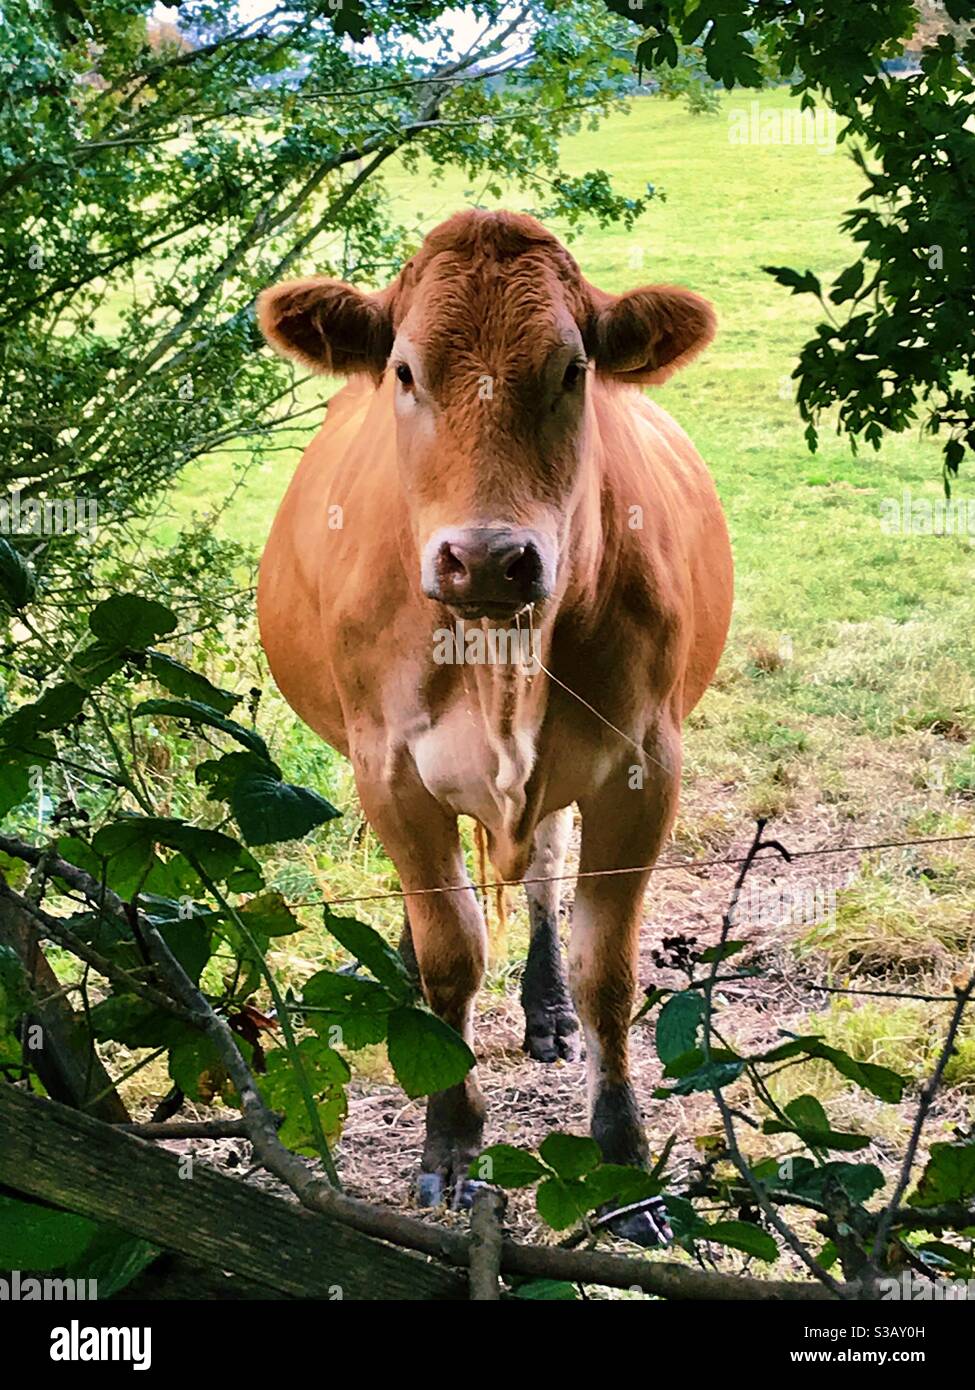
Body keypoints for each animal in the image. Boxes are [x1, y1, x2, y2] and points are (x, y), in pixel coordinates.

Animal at [257, 209, 733, 1243]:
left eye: (573, 369)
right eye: (403, 370)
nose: (485, 558)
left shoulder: (642, 770)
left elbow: (606, 973)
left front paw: (623, 1160)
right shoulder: (389, 772)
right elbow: (450, 957)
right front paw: (448, 1142)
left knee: (546, 862)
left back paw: (544, 1007)